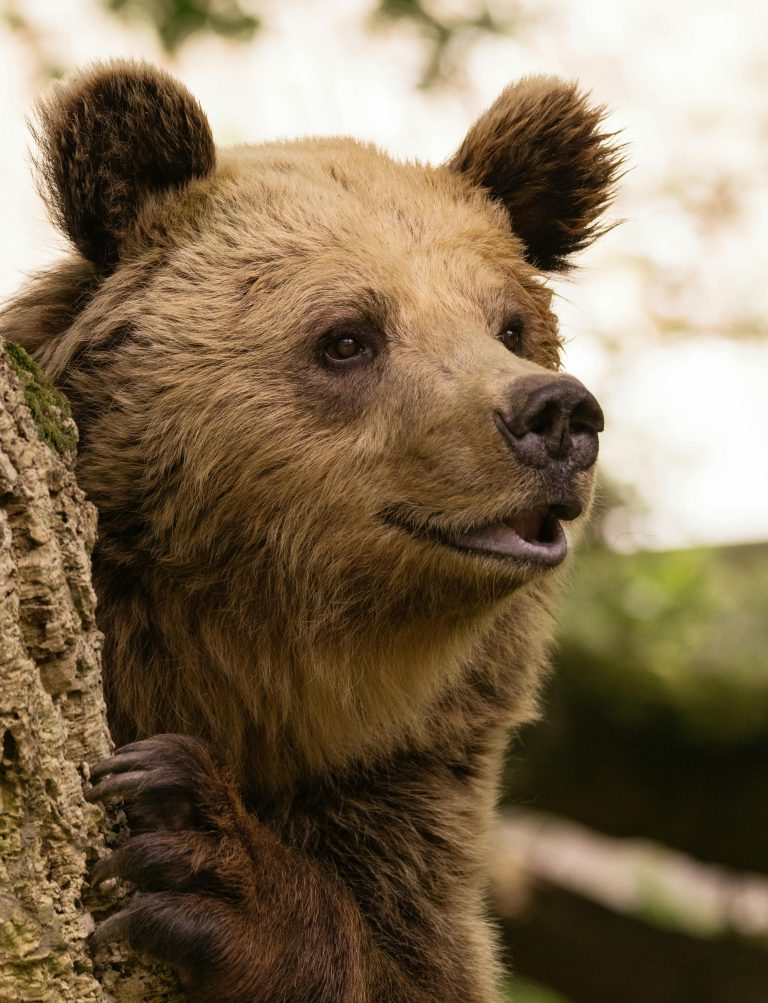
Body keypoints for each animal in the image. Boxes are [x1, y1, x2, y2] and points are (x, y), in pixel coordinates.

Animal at [2, 62, 620, 1002]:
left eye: (511, 325)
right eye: (347, 336)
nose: (554, 413)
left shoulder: (400, 791)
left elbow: (407, 959)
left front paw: (197, 849)